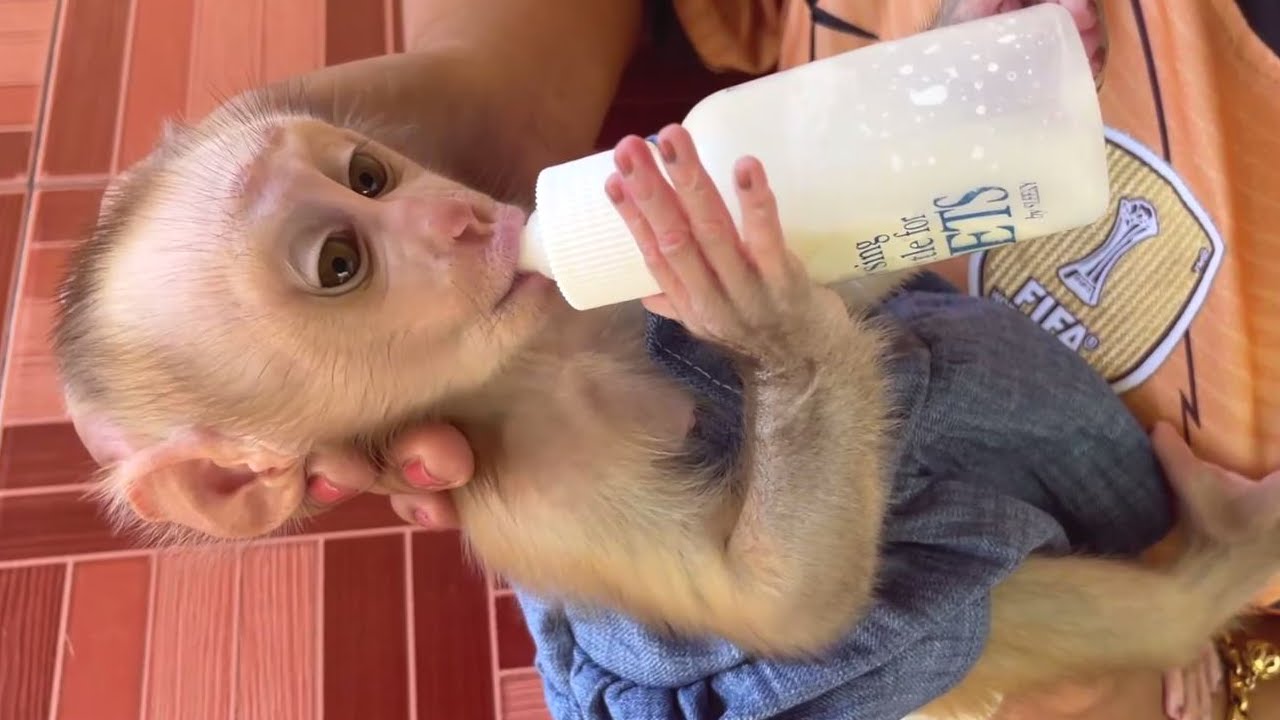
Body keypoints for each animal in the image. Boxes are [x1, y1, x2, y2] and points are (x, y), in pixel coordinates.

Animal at [50, 83, 1280, 720]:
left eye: (367, 174)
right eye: (342, 262)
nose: (468, 223)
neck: (538, 359)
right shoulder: (539, 490)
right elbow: (774, 607)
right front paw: (772, 322)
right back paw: (1224, 558)